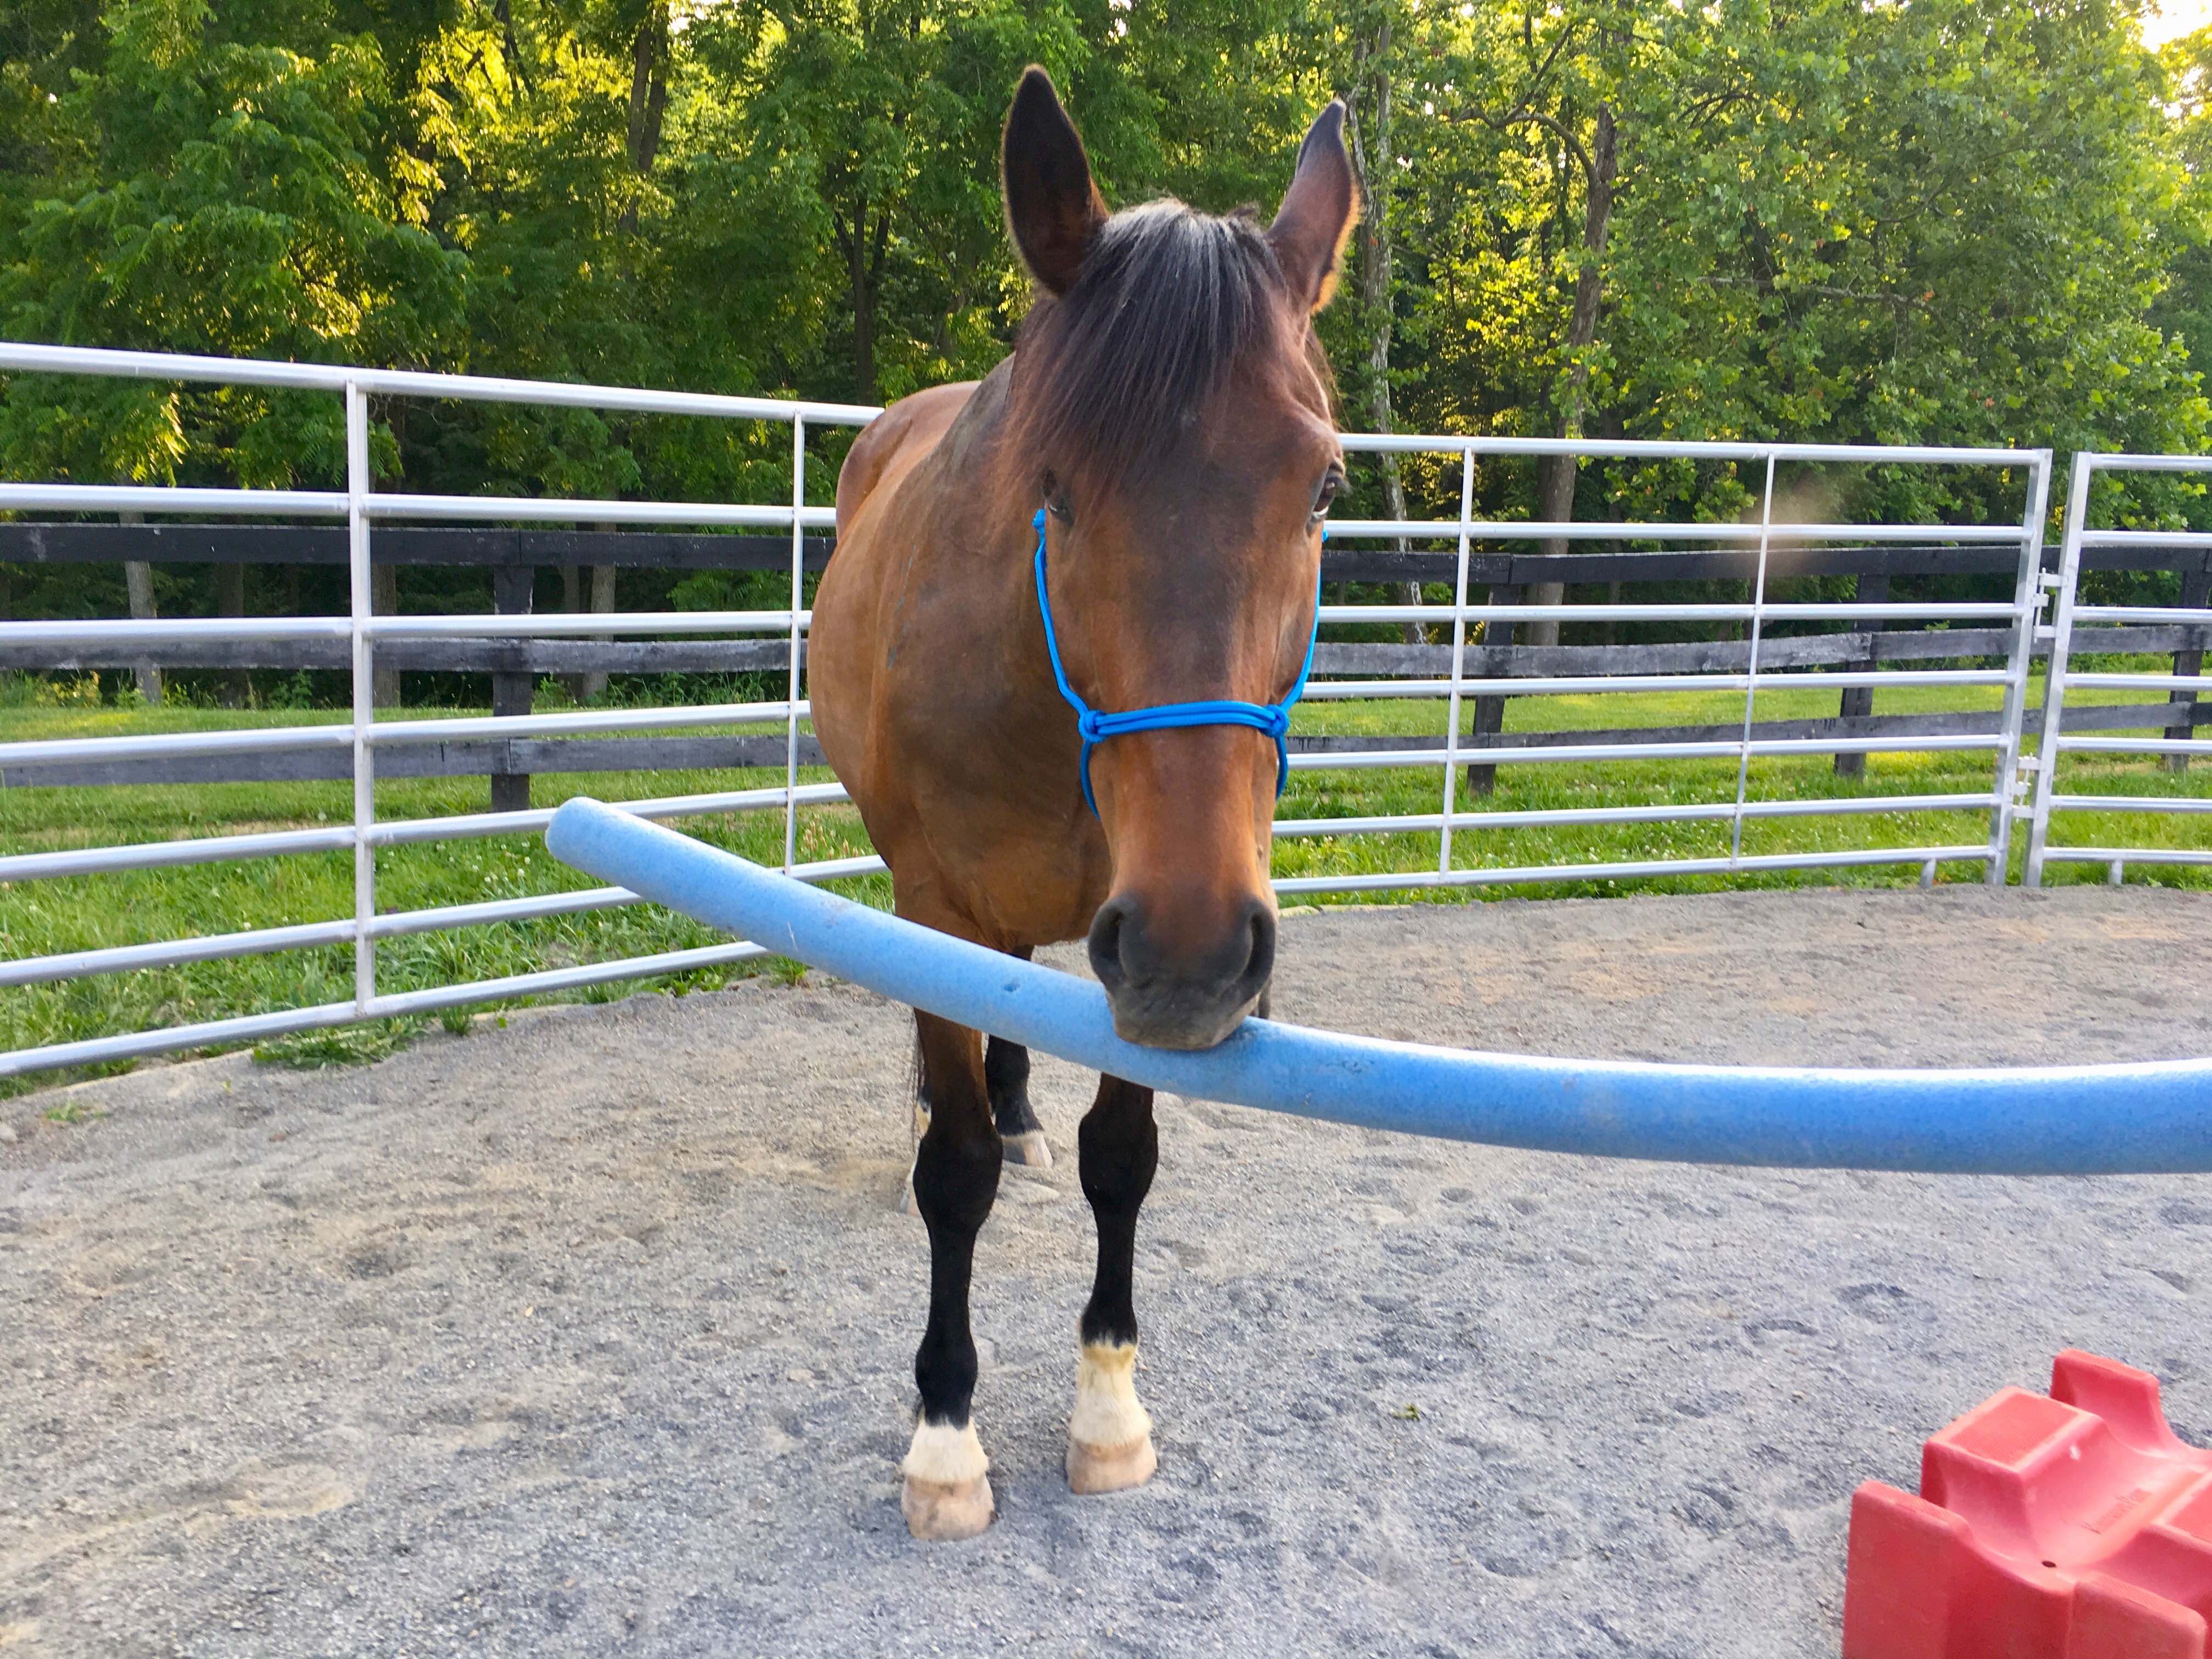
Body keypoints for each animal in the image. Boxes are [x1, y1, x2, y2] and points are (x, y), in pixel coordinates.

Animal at [808, 66, 1357, 1542]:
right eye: (1051, 479)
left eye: (1324, 484)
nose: (1195, 948)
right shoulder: (942, 909)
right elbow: (952, 1178)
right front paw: (946, 1439)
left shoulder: (1151, 923)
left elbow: (1125, 1158)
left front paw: (1109, 1410)